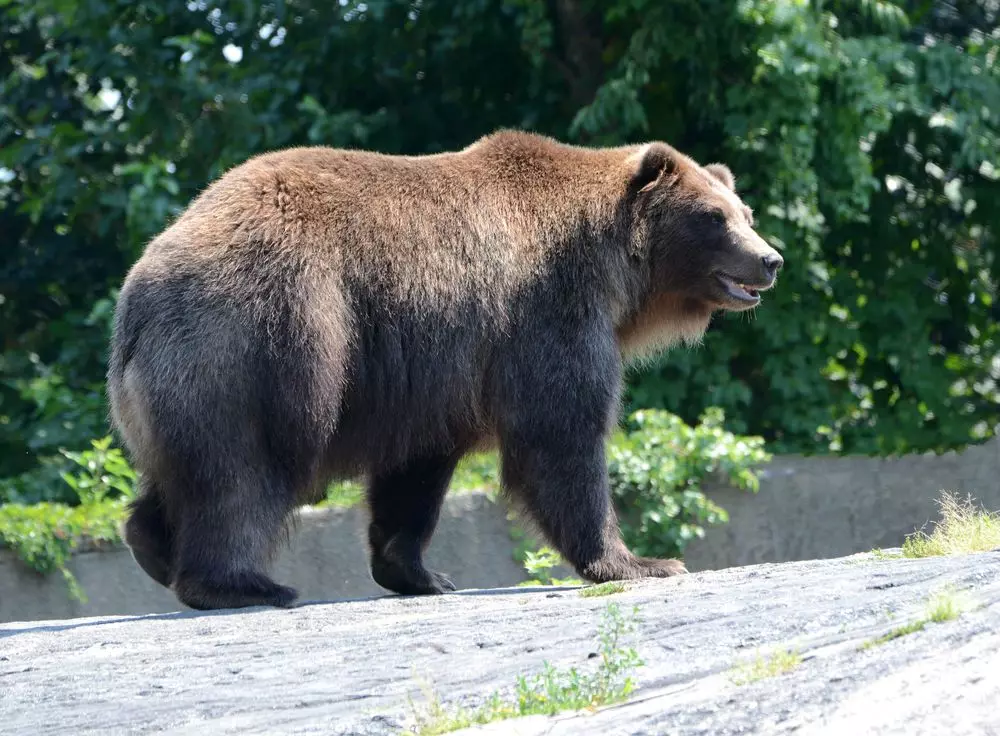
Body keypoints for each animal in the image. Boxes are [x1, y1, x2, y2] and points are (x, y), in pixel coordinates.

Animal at [107, 128, 780, 608]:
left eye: (744, 211)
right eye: (713, 216)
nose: (770, 259)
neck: (615, 270)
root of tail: (138, 291)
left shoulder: (433, 372)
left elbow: (416, 473)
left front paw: (423, 574)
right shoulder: (544, 314)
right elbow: (562, 434)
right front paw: (643, 561)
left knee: (186, 467)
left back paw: (153, 547)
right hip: (264, 339)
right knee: (243, 469)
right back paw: (243, 584)